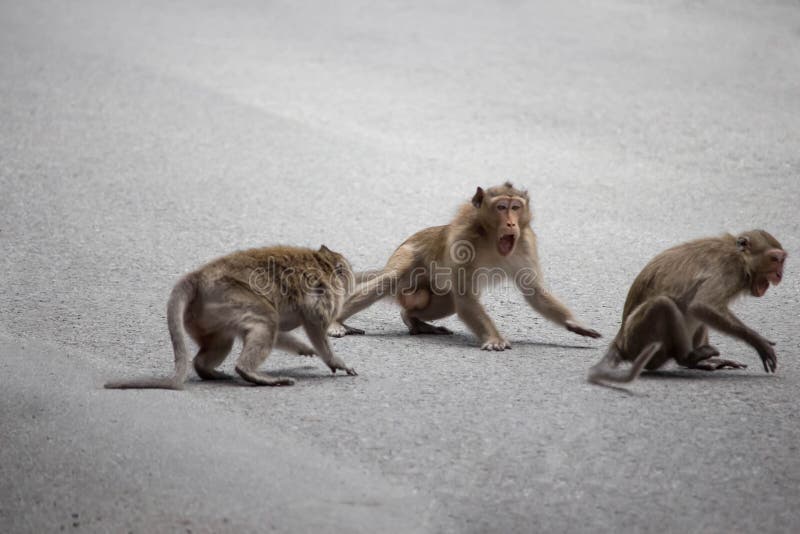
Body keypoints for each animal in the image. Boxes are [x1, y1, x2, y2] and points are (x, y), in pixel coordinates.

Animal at [105, 245, 358, 390]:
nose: (352, 280)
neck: (322, 265)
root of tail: (197, 277)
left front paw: (303, 348)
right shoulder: (323, 294)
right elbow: (314, 325)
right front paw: (334, 361)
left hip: (203, 315)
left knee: (223, 340)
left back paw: (206, 369)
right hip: (229, 294)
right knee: (267, 319)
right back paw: (250, 372)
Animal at [327, 182, 602, 350]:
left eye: (516, 207)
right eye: (501, 207)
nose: (511, 223)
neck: (490, 238)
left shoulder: (525, 243)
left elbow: (533, 291)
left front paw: (574, 323)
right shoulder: (463, 241)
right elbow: (466, 296)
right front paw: (494, 338)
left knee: (446, 302)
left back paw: (413, 320)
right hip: (405, 259)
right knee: (388, 280)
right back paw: (336, 322)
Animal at [588, 230, 787, 384]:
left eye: (782, 260)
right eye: (774, 258)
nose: (779, 275)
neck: (741, 258)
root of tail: (620, 341)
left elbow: (703, 309)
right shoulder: (728, 270)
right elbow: (701, 305)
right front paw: (758, 342)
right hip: (637, 340)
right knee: (663, 304)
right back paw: (688, 358)